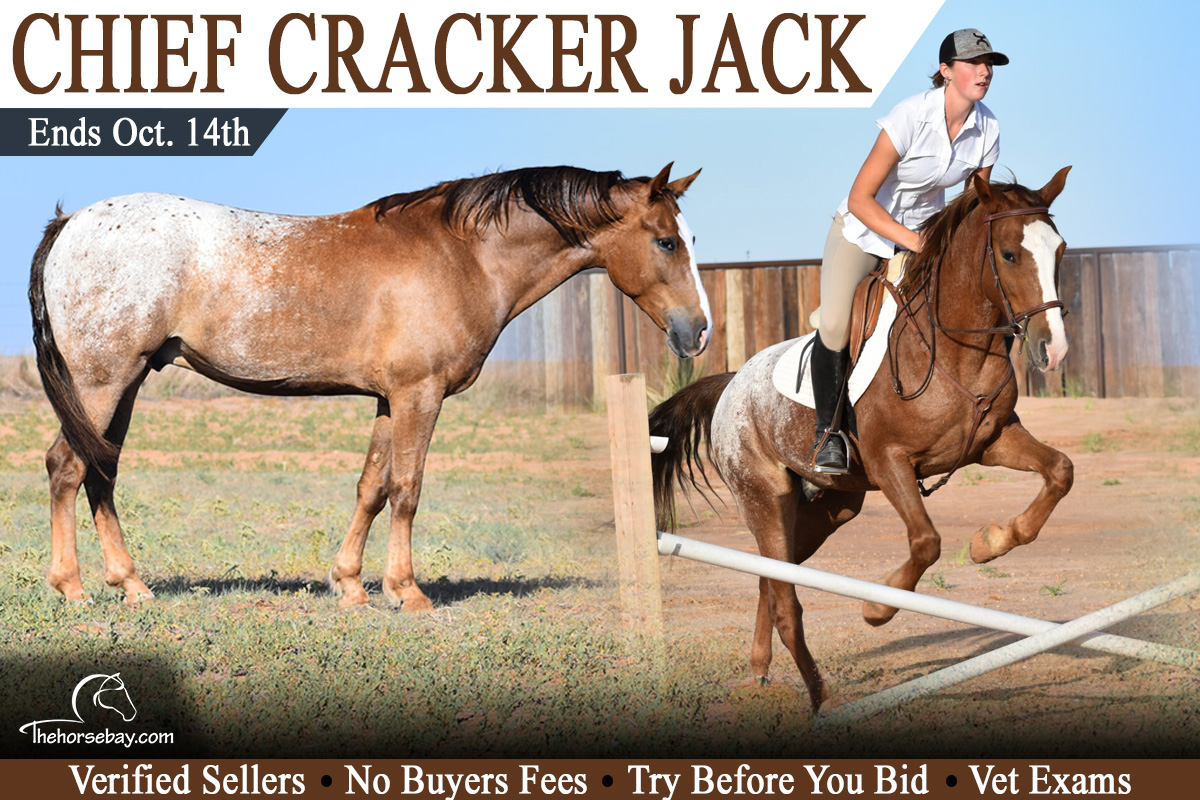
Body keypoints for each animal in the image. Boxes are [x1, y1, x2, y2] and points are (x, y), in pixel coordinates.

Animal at [30, 163, 711, 608]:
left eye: (689, 237)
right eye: (665, 240)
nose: (698, 330)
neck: (461, 256)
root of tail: (70, 223)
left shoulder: (390, 398)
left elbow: (371, 488)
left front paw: (352, 585)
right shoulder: (419, 394)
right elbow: (407, 489)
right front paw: (407, 592)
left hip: (127, 382)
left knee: (99, 472)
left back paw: (131, 584)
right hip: (104, 381)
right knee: (67, 467)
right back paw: (74, 590)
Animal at [649, 169, 1074, 711]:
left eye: (1060, 250)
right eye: (1010, 254)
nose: (1052, 348)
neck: (956, 350)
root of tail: (731, 383)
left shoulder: (992, 442)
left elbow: (1059, 471)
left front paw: (991, 543)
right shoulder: (889, 460)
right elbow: (926, 541)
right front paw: (878, 608)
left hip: (830, 509)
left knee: (773, 579)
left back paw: (760, 670)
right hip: (765, 497)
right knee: (785, 600)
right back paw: (820, 697)